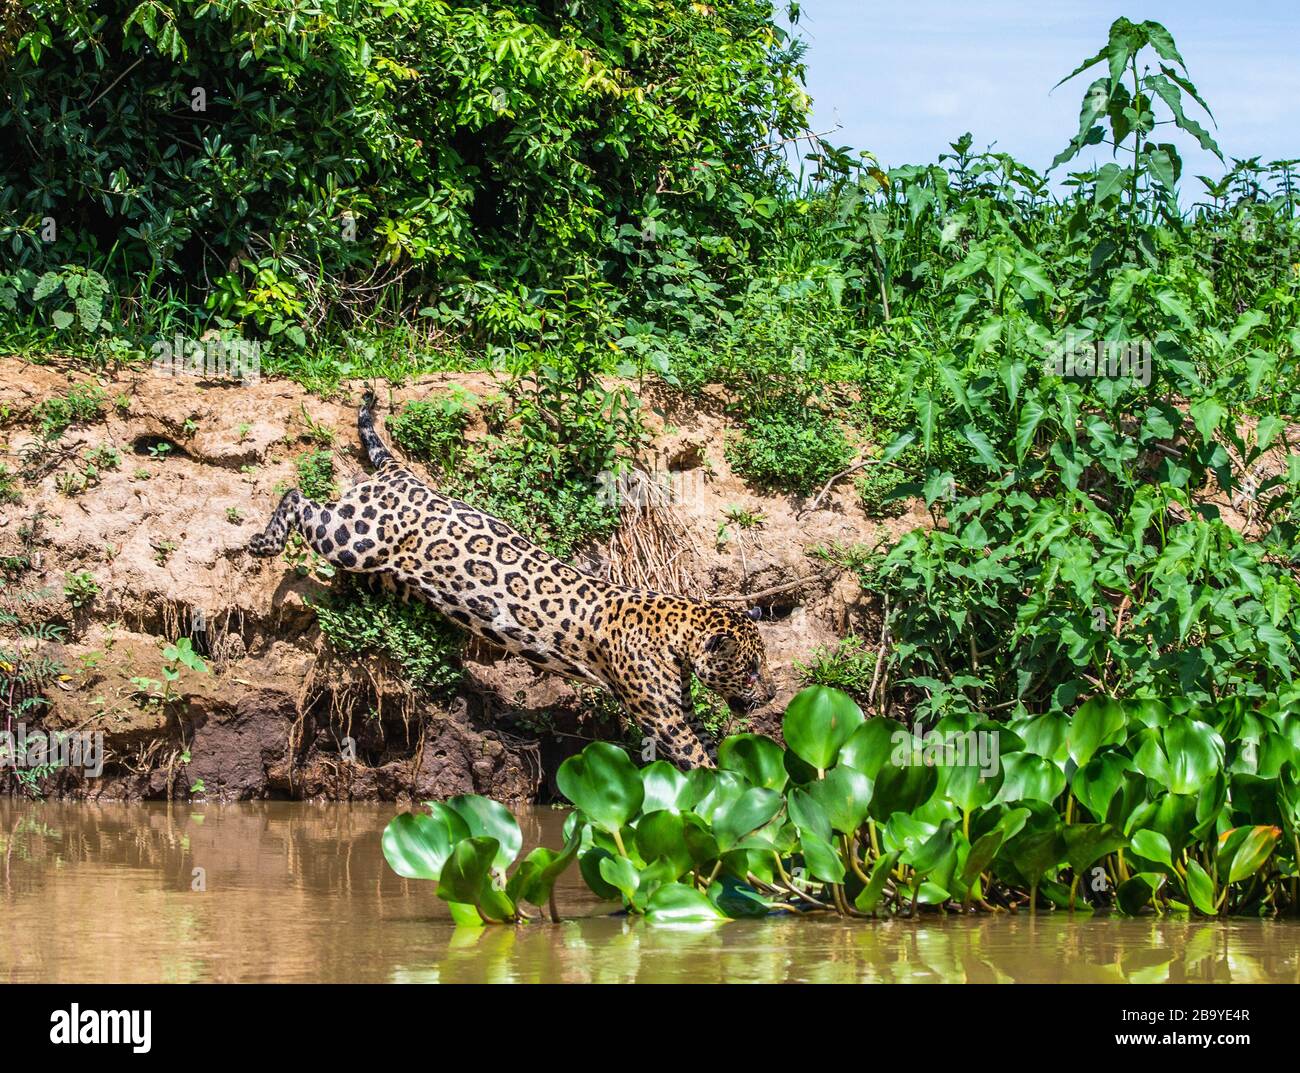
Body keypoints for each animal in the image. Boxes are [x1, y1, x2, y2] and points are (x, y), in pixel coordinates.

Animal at [246, 390, 775, 768]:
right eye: (750, 669)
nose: (771, 694)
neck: (679, 632)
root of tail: (405, 477)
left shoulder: (681, 709)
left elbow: (710, 746)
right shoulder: (665, 720)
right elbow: (699, 763)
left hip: (391, 572)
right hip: (356, 537)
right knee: (298, 499)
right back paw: (264, 542)